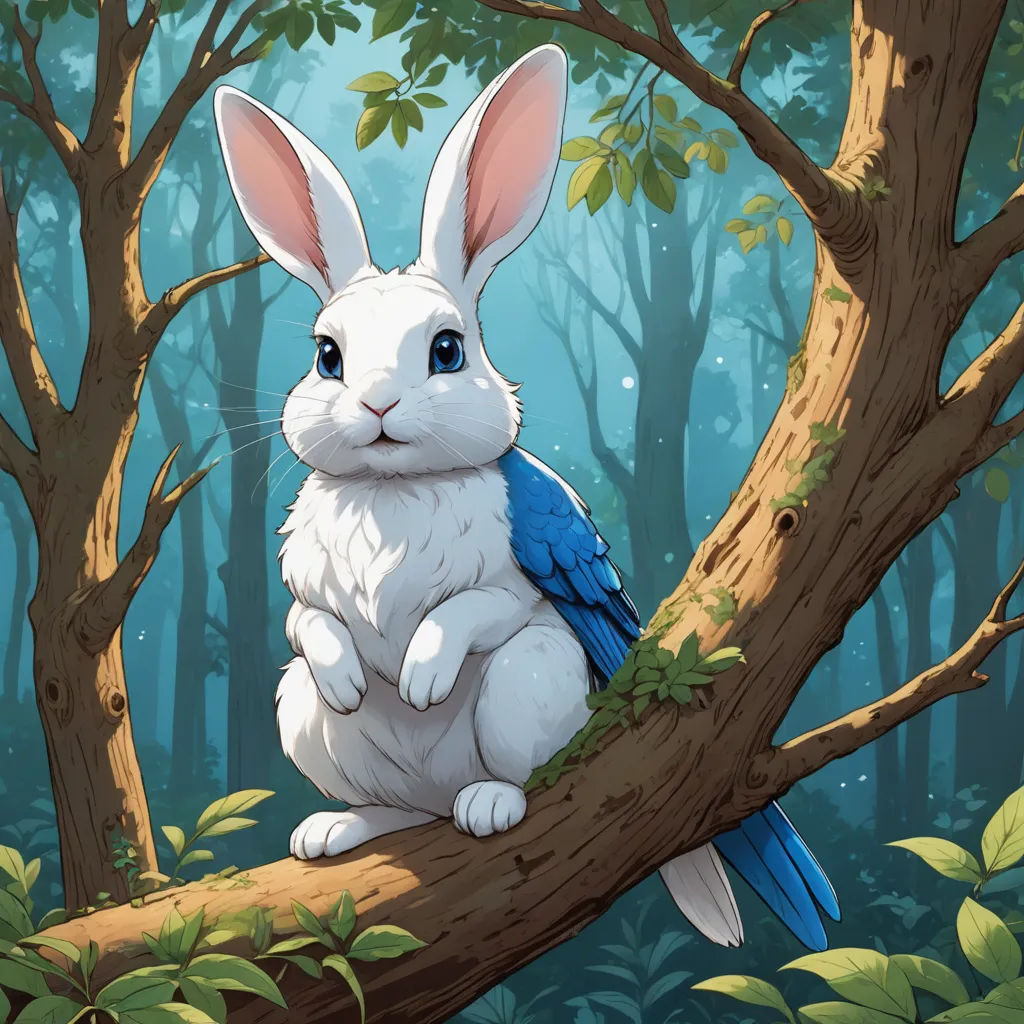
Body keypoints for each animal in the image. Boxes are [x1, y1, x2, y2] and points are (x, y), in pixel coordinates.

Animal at [213, 44, 839, 951]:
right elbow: (309, 625)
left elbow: (469, 612)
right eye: (327, 356)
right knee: (400, 806)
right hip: (304, 720)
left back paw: (488, 803)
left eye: (447, 349)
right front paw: (352, 680)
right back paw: (337, 828)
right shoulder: (305, 592)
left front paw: (421, 680)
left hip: (532, 681)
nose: (376, 405)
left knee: (510, 776)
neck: (395, 492)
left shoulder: (524, 579)